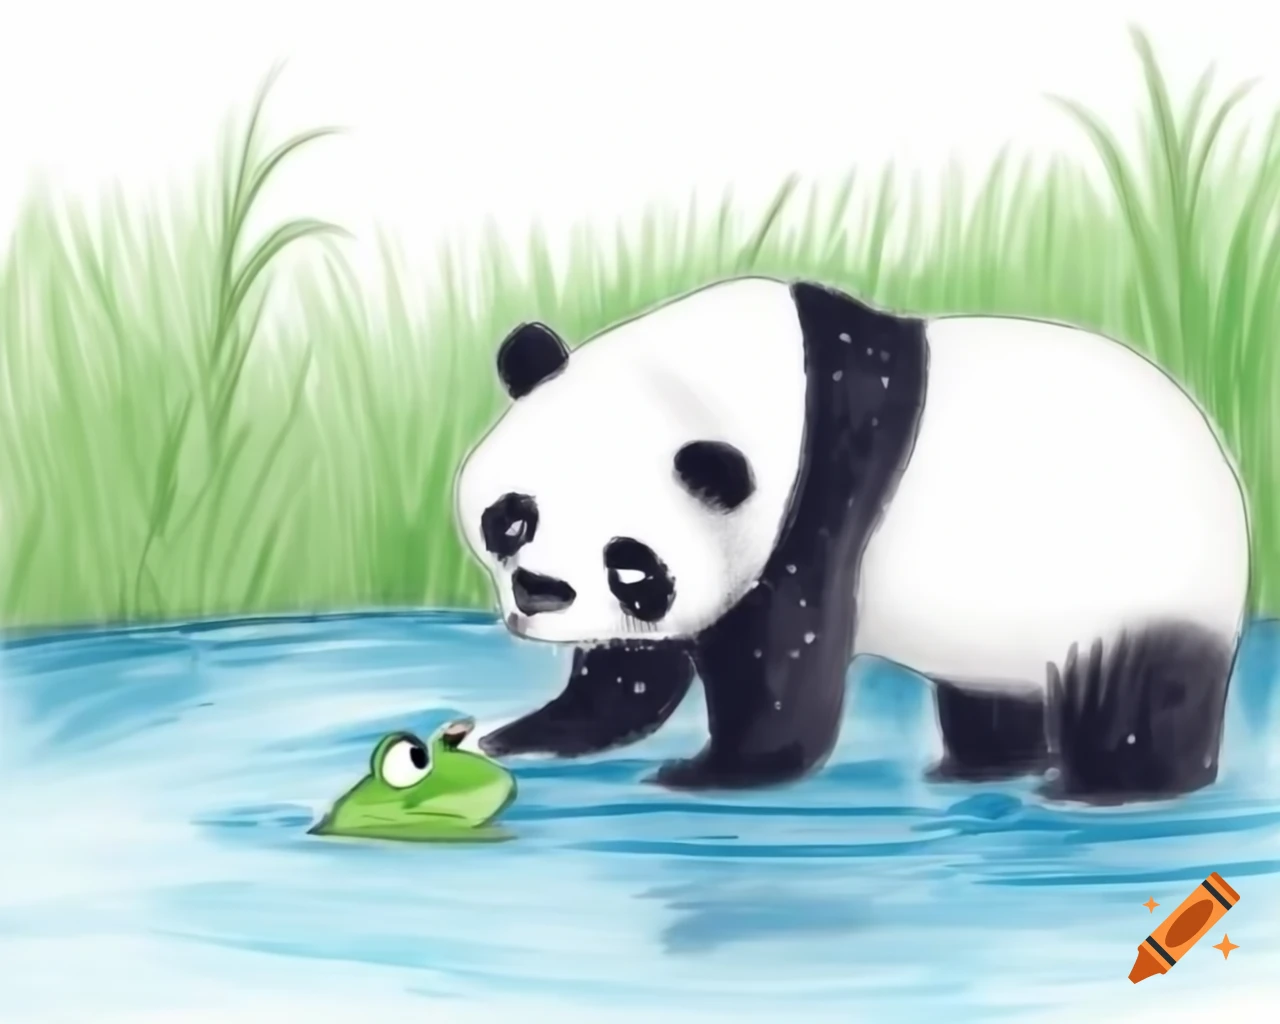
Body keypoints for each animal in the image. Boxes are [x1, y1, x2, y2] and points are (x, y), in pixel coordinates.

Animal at [454, 276, 1251, 803]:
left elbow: (782, 666)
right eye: (513, 516)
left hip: (1147, 578)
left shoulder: (820, 502)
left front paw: (709, 773)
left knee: (1142, 692)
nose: (541, 593)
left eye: (630, 565)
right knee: (993, 694)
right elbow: (630, 678)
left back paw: (1103, 787)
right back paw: (981, 766)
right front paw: (505, 735)